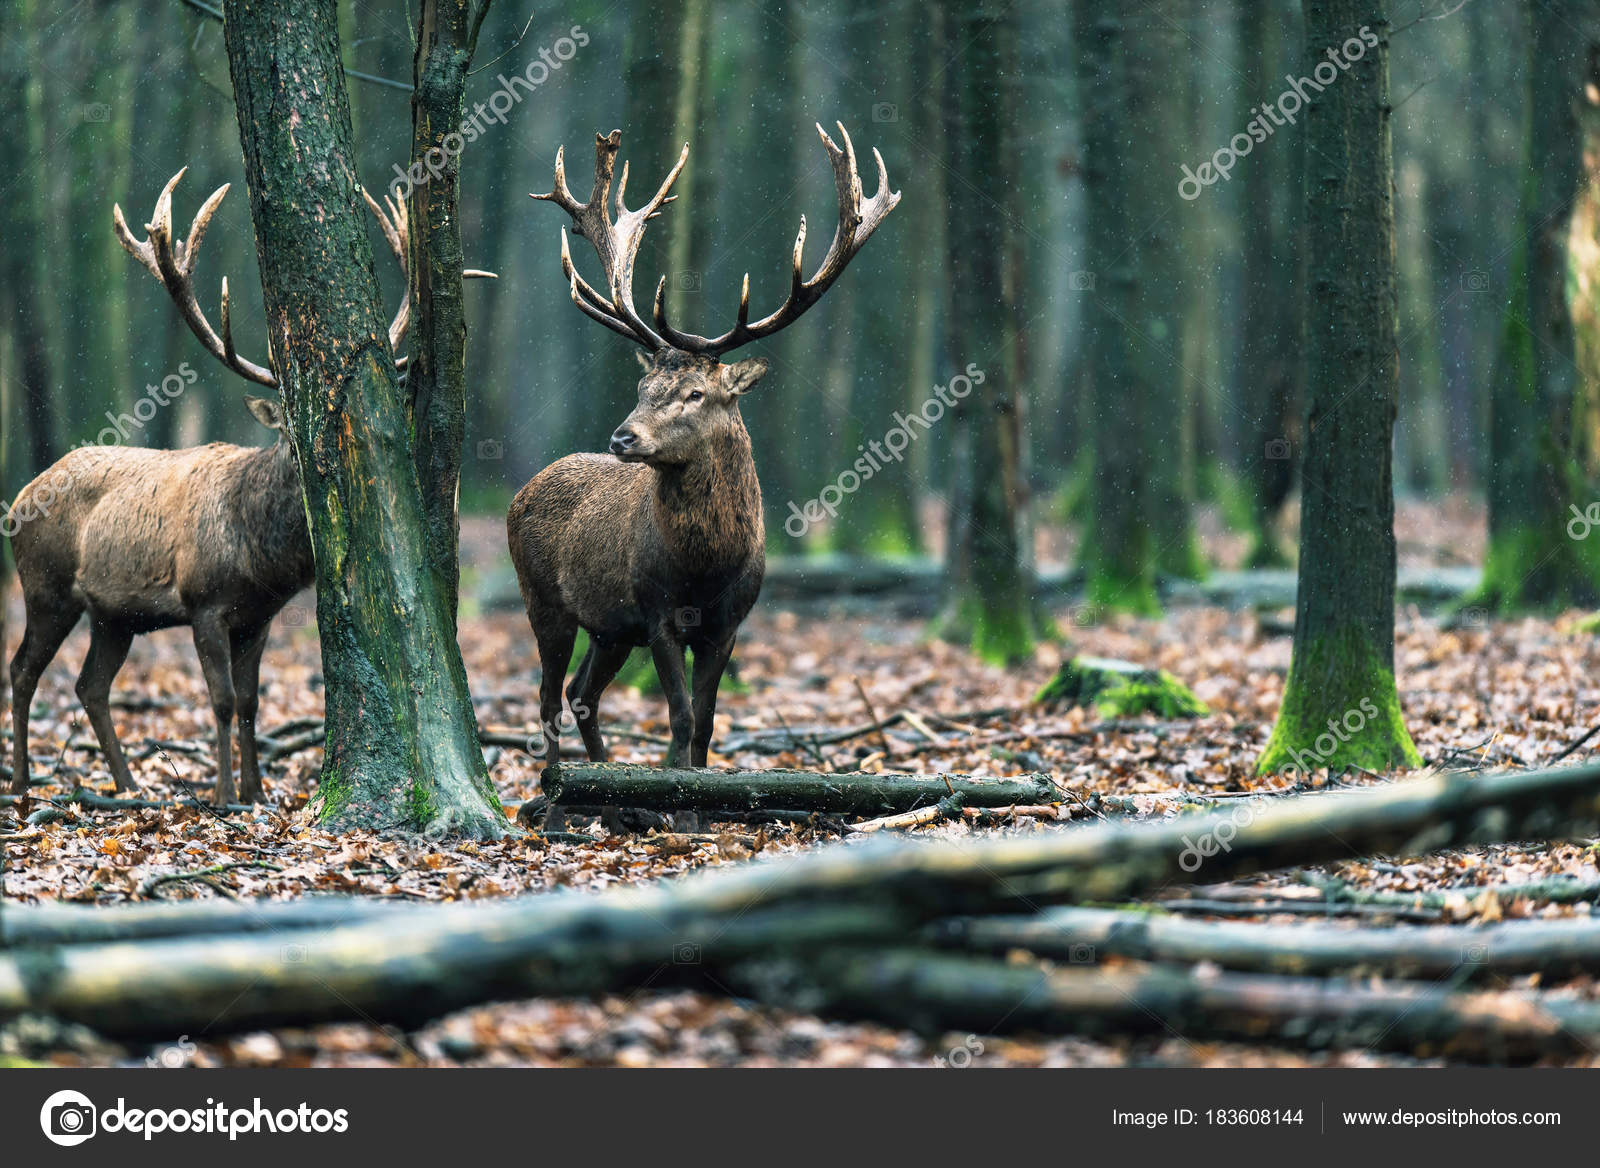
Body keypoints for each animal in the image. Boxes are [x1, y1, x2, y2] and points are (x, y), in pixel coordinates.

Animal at [6, 169, 447, 807]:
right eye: (287, 423)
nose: (315, 455)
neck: (259, 556)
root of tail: (17, 501)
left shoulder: (257, 617)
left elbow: (250, 702)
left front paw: (257, 793)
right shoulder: (203, 601)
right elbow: (218, 699)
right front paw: (221, 795)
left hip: (114, 615)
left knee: (90, 685)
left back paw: (129, 785)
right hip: (46, 586)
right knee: (23, 671)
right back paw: (21, 783)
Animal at [507, 124, 899, 829]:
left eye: (694, 393)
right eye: (643, 387)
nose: (622, 437)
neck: (706, 565)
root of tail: (520, 492)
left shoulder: (728, 623)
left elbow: (708, 720)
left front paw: (694, 809)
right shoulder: (658, 612)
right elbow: (682, 715)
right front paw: (682, 815)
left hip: (610, 626)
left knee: (581, 693)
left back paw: (608, 802)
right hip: (543, 598)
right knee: (550, 696)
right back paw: (556, 808)